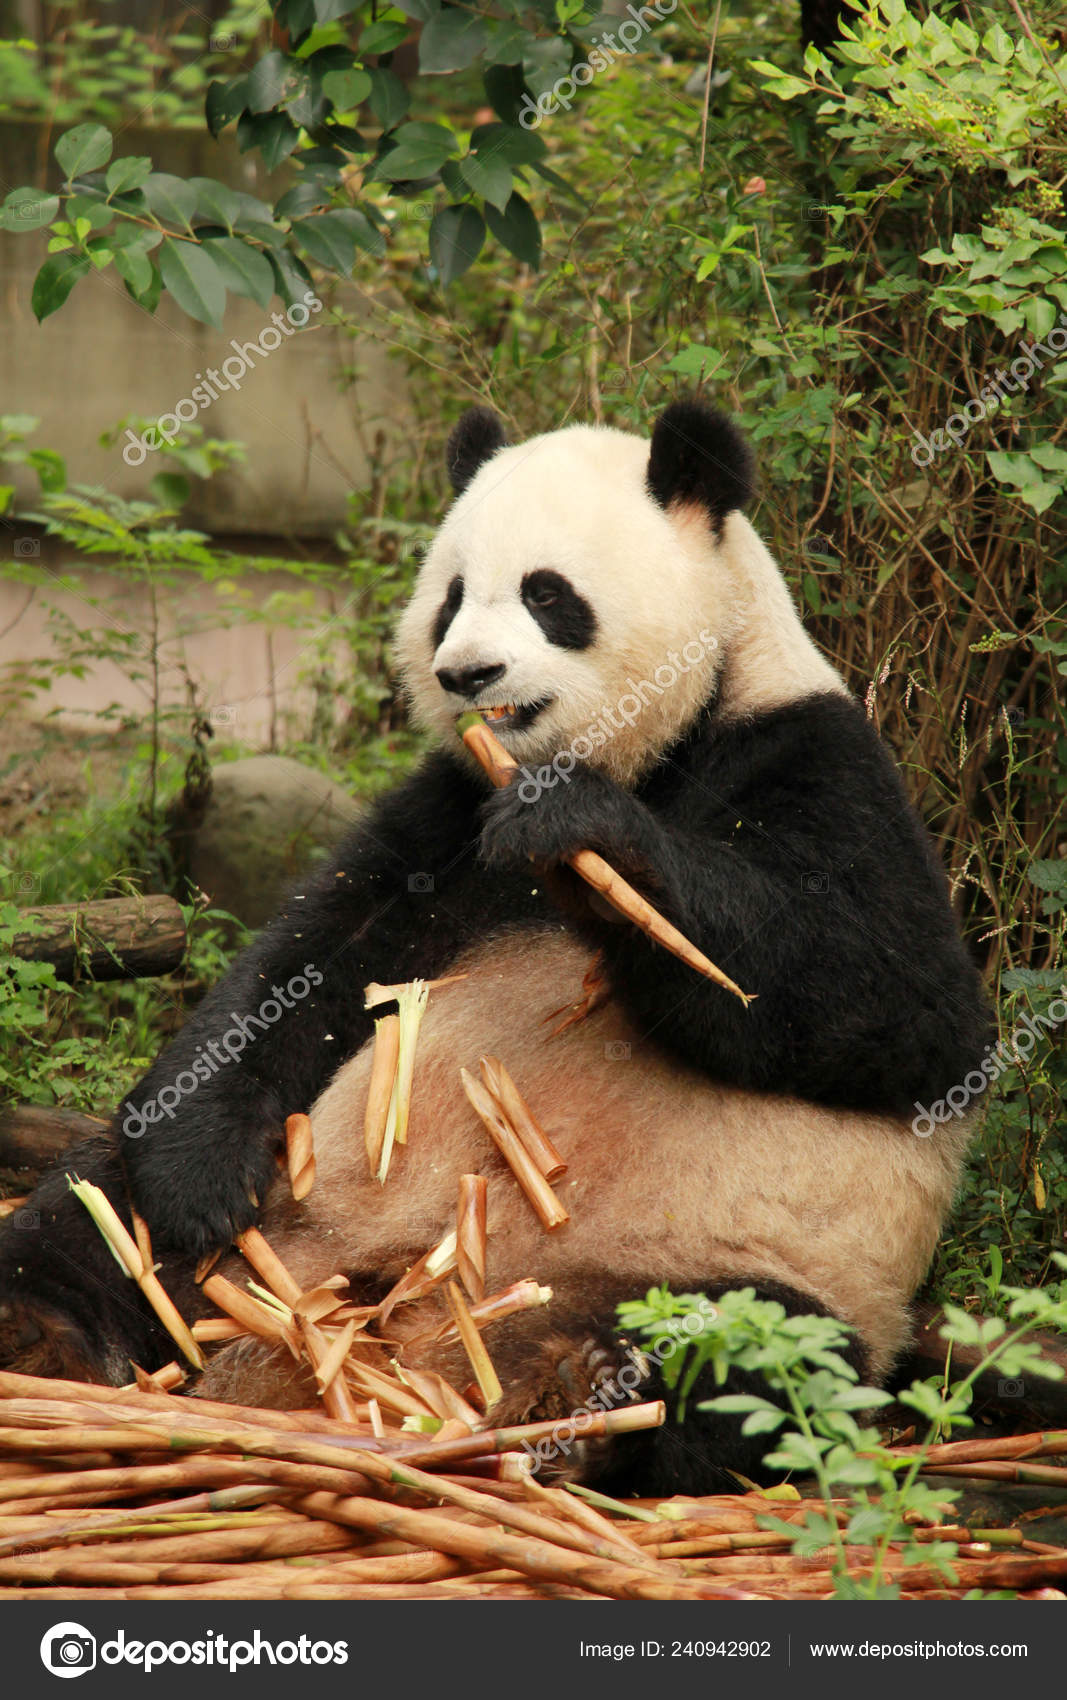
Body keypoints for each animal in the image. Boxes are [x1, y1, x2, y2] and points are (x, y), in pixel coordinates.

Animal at [0, 399, 990, 1494]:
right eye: (450, 598)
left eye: (547, 594)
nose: (467, 673)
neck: (651, 749)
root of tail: (409, 1332)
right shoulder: (446, 815)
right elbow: (303, 967)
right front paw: (201, 1176)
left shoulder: (813, 759)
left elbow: (901, 1009)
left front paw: (587, 835)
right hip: (283, 1220)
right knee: (91, 1208)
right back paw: (38, 1331)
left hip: (730, 1264)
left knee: (760, 1354)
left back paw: (591, 1392)